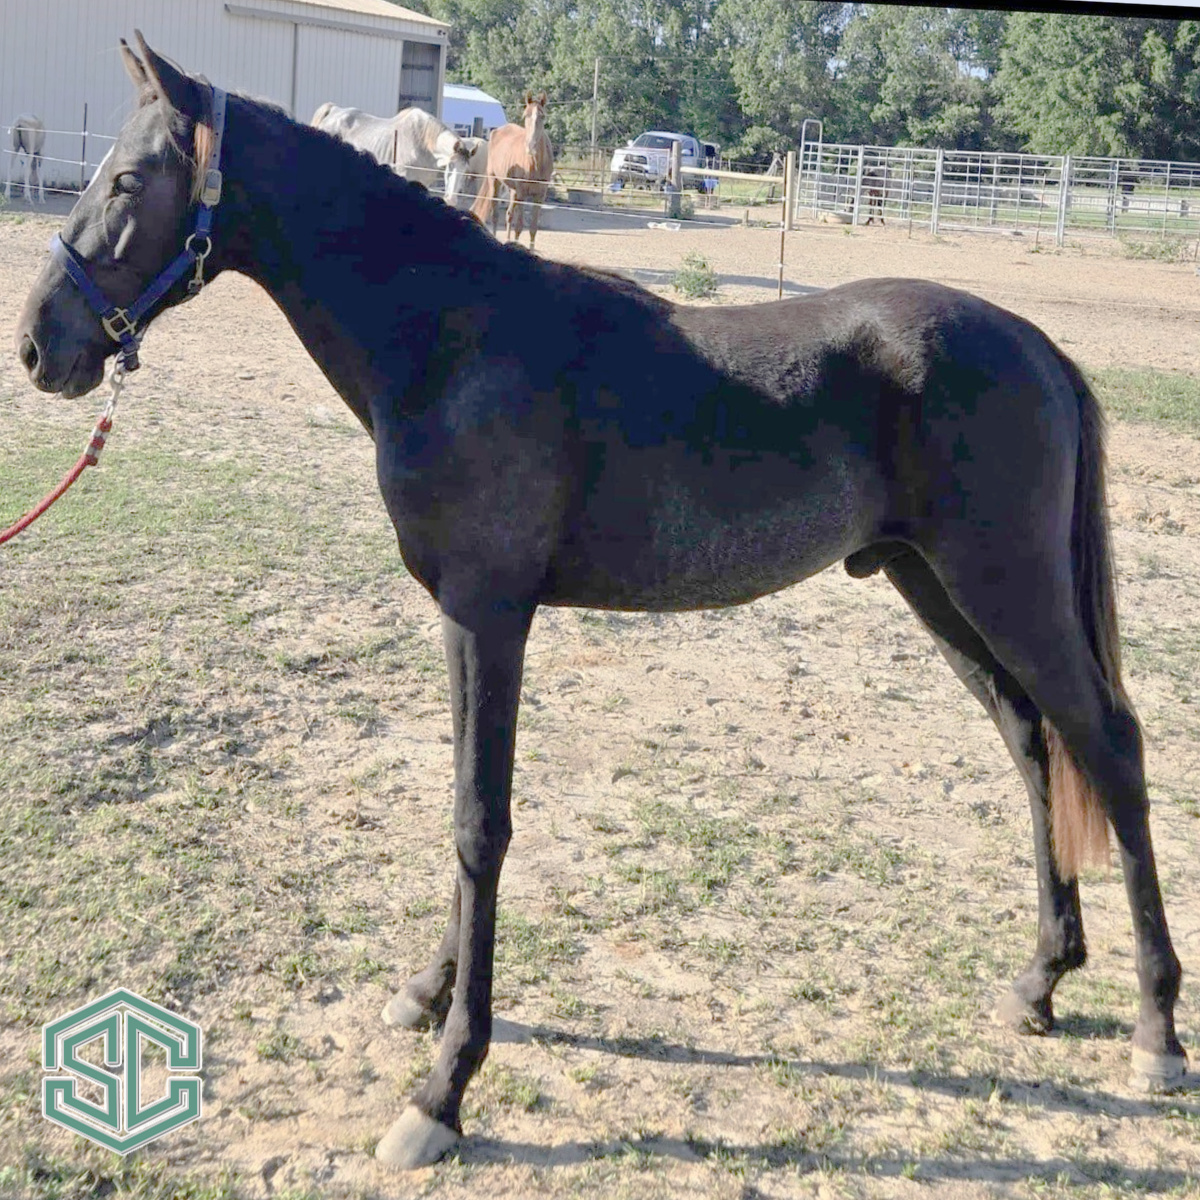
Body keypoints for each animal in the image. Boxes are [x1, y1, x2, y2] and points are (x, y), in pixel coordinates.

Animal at [471, 91, 553, 247]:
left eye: (542, 116)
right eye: (525, 115)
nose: (530, 147)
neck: (535, 165)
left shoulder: (539, 196)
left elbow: (533, 229)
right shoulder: (521, 194)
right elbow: (519, 226)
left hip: (512, 190)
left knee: (509, 215)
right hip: (495, 181)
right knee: (495, 214)